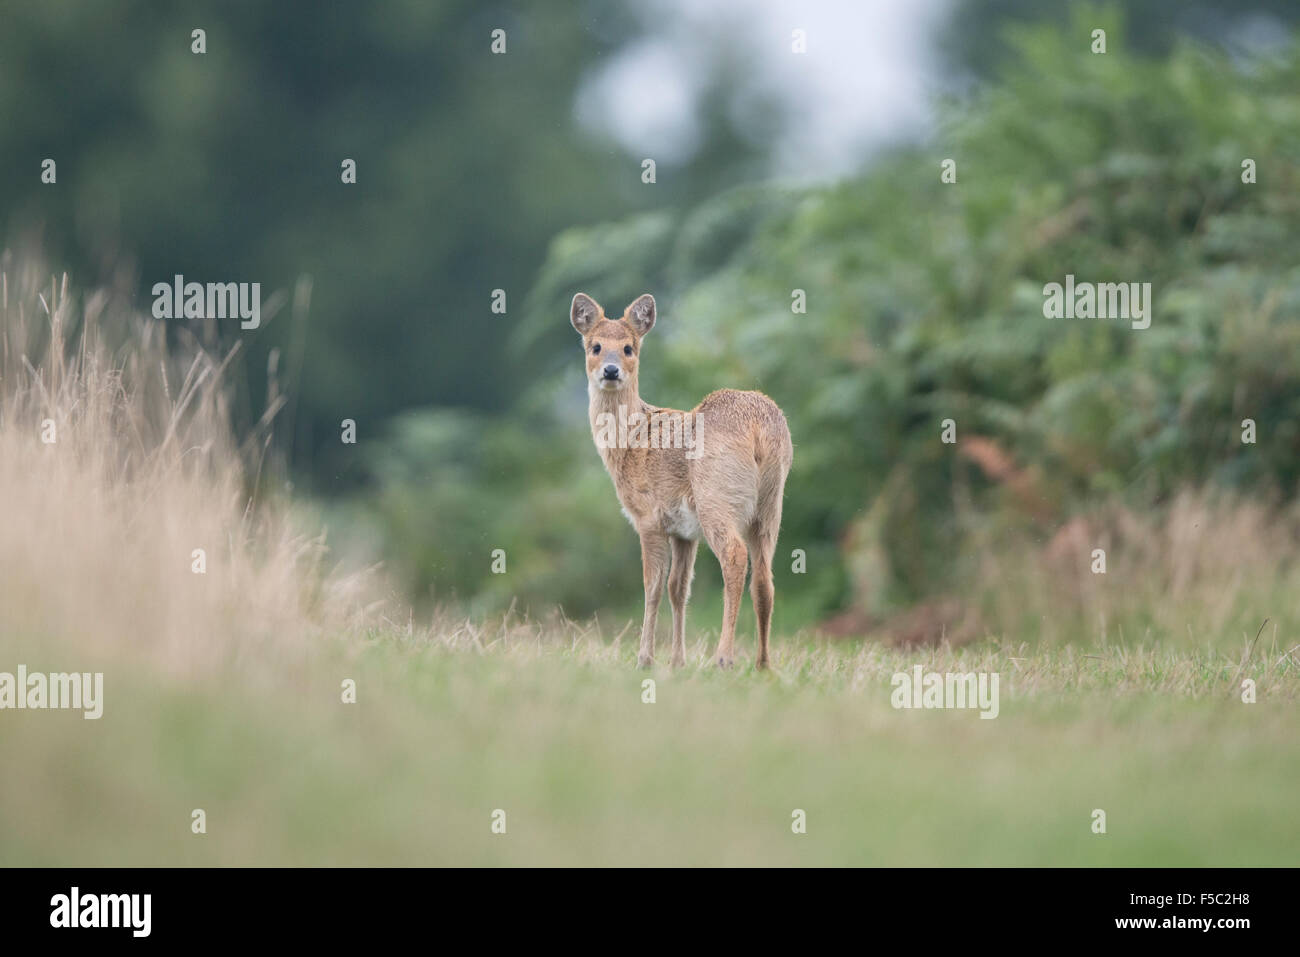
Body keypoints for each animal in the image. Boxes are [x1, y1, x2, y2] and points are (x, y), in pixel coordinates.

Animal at [570, 292, 793, 670]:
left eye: (629, 347)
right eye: (595, 346)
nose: (611, 370)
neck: (631, 440)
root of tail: (759, 428)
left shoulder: (648, 517)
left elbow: (652, 587)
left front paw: (645, 658)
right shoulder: (684, 532)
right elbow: (678, 589)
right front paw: (677, 662)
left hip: (716, 494)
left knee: (735, 557)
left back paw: (724, 657)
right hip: (770, 504)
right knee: (764, 577)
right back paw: (763, 664)